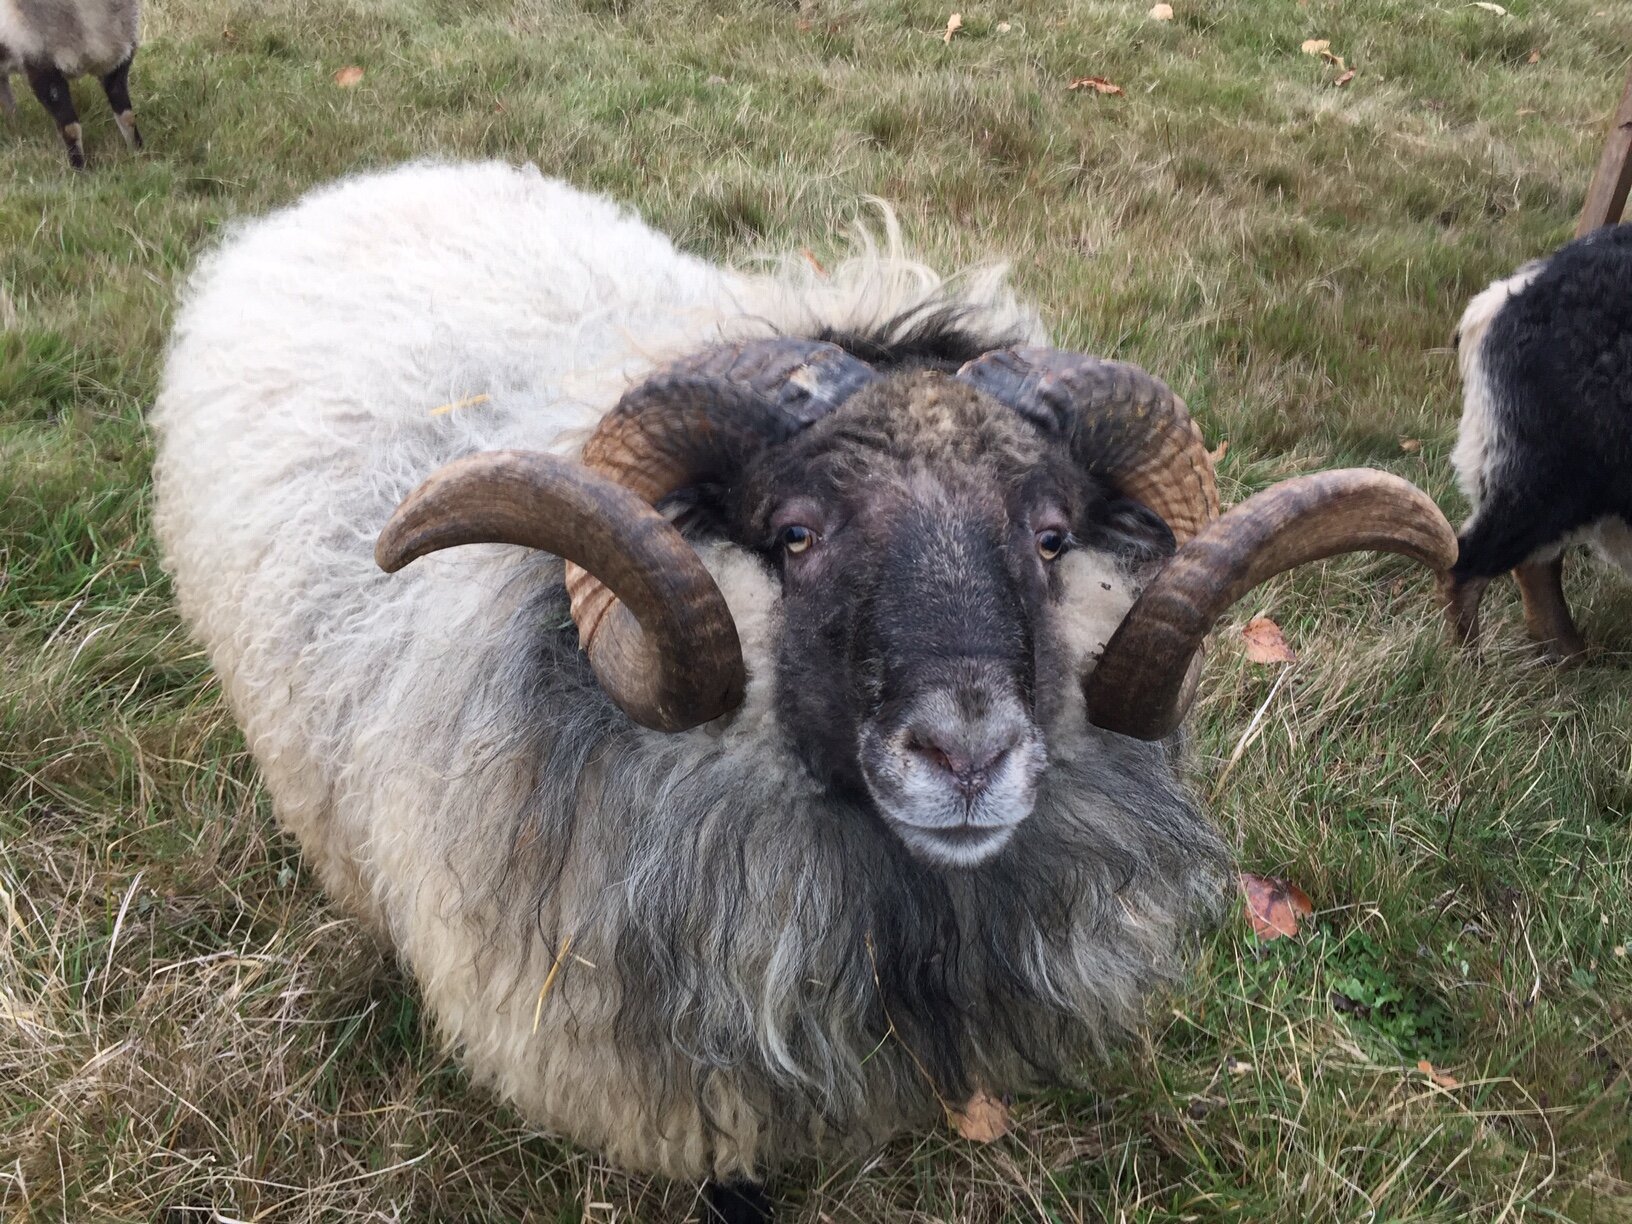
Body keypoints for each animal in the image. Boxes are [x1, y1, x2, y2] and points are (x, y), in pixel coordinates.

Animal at [1, 0, 142, 168]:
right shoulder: (40, 63)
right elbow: (70, 129)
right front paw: (79, 168)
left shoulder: (115, 62)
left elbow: (128, 117)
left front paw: (138, 153)